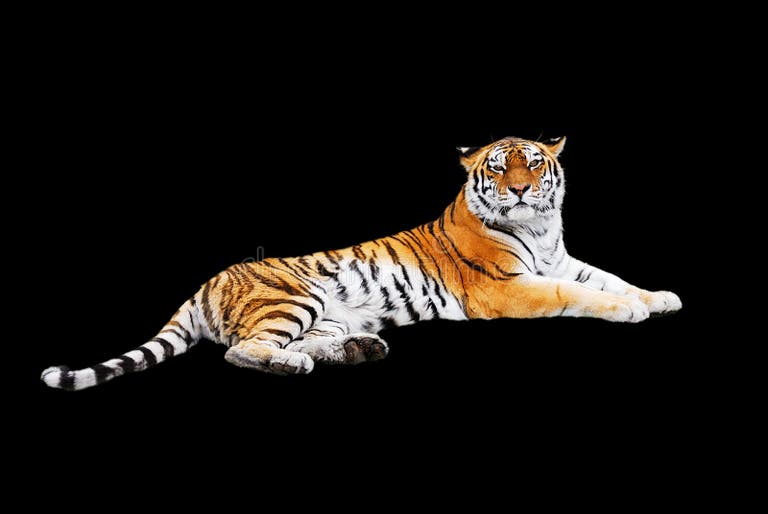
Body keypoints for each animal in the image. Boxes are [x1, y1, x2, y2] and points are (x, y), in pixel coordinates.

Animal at [41, 136, 682, 390]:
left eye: (534, 164)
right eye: (499, 169)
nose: (522, 190)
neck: (540, 228)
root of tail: (206, 282)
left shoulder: (564, 262)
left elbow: (611, 278)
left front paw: (660, 298)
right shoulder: (509, 288)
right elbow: (581, 296)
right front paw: (629, 312)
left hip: (322, 310)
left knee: (286, 342)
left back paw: (357, 349)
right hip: (292, 297)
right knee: (242, 349)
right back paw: (303, 364)